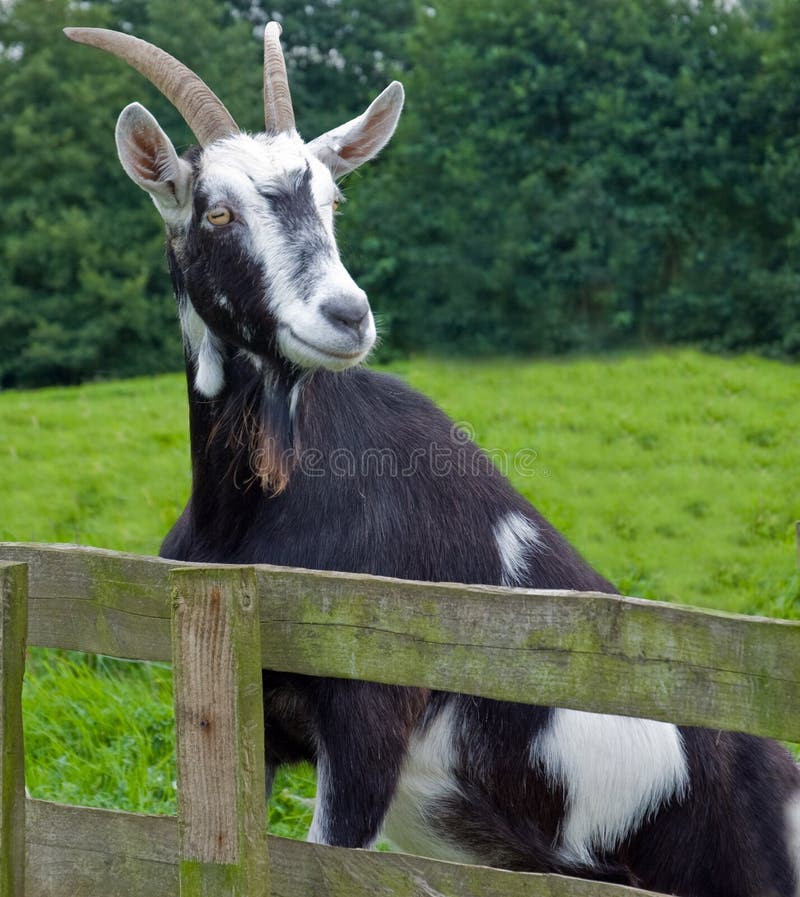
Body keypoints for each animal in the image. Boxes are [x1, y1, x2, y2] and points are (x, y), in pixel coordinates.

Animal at [66, 23, 800, 896]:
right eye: (216, 210)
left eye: (334, 199)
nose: (347, 315)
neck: (255, 515)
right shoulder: (241, 708)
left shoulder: (369, 720)